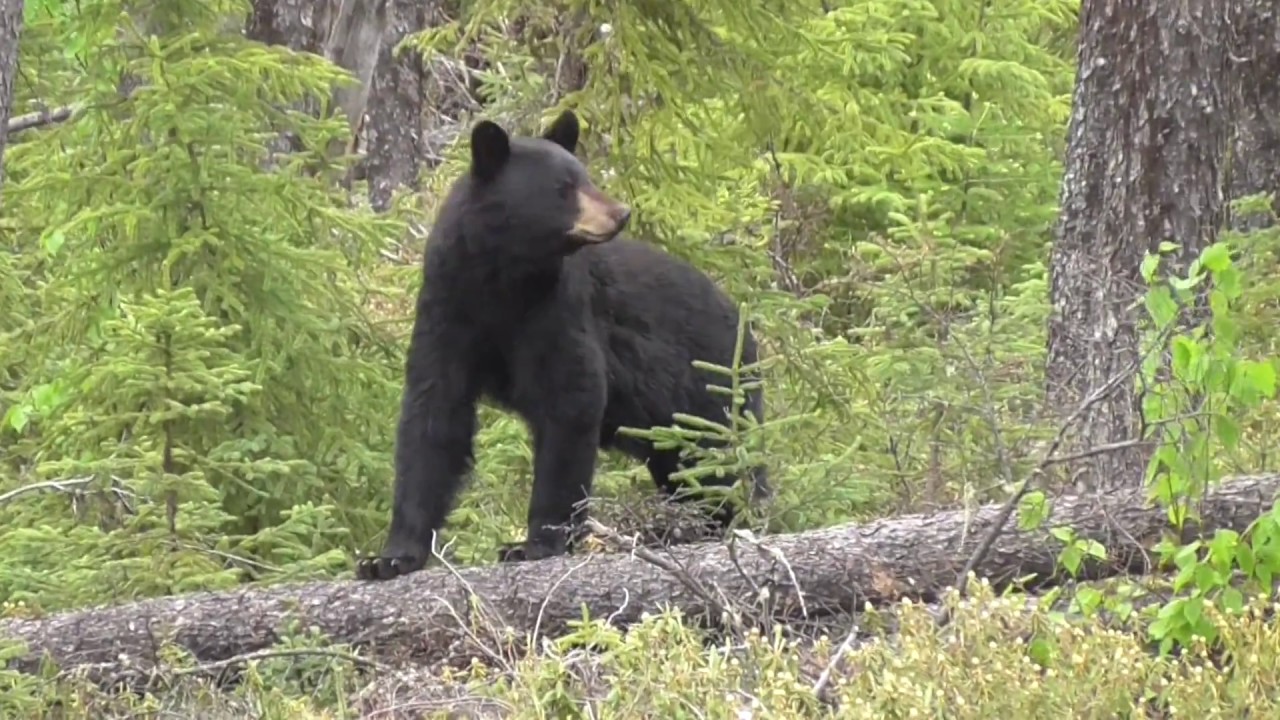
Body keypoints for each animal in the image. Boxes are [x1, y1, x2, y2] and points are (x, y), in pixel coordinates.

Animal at [356, 109, 769, 581]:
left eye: (584, 177)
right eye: (564, 188)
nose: (620, 213)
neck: (502, 281)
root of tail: (744, 326)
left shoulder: (555, 311)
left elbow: (571, 399)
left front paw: (534, 543)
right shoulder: (447, 312)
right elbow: (434, 417)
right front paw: (390, 557)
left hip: (708, 389)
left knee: (719, 463)